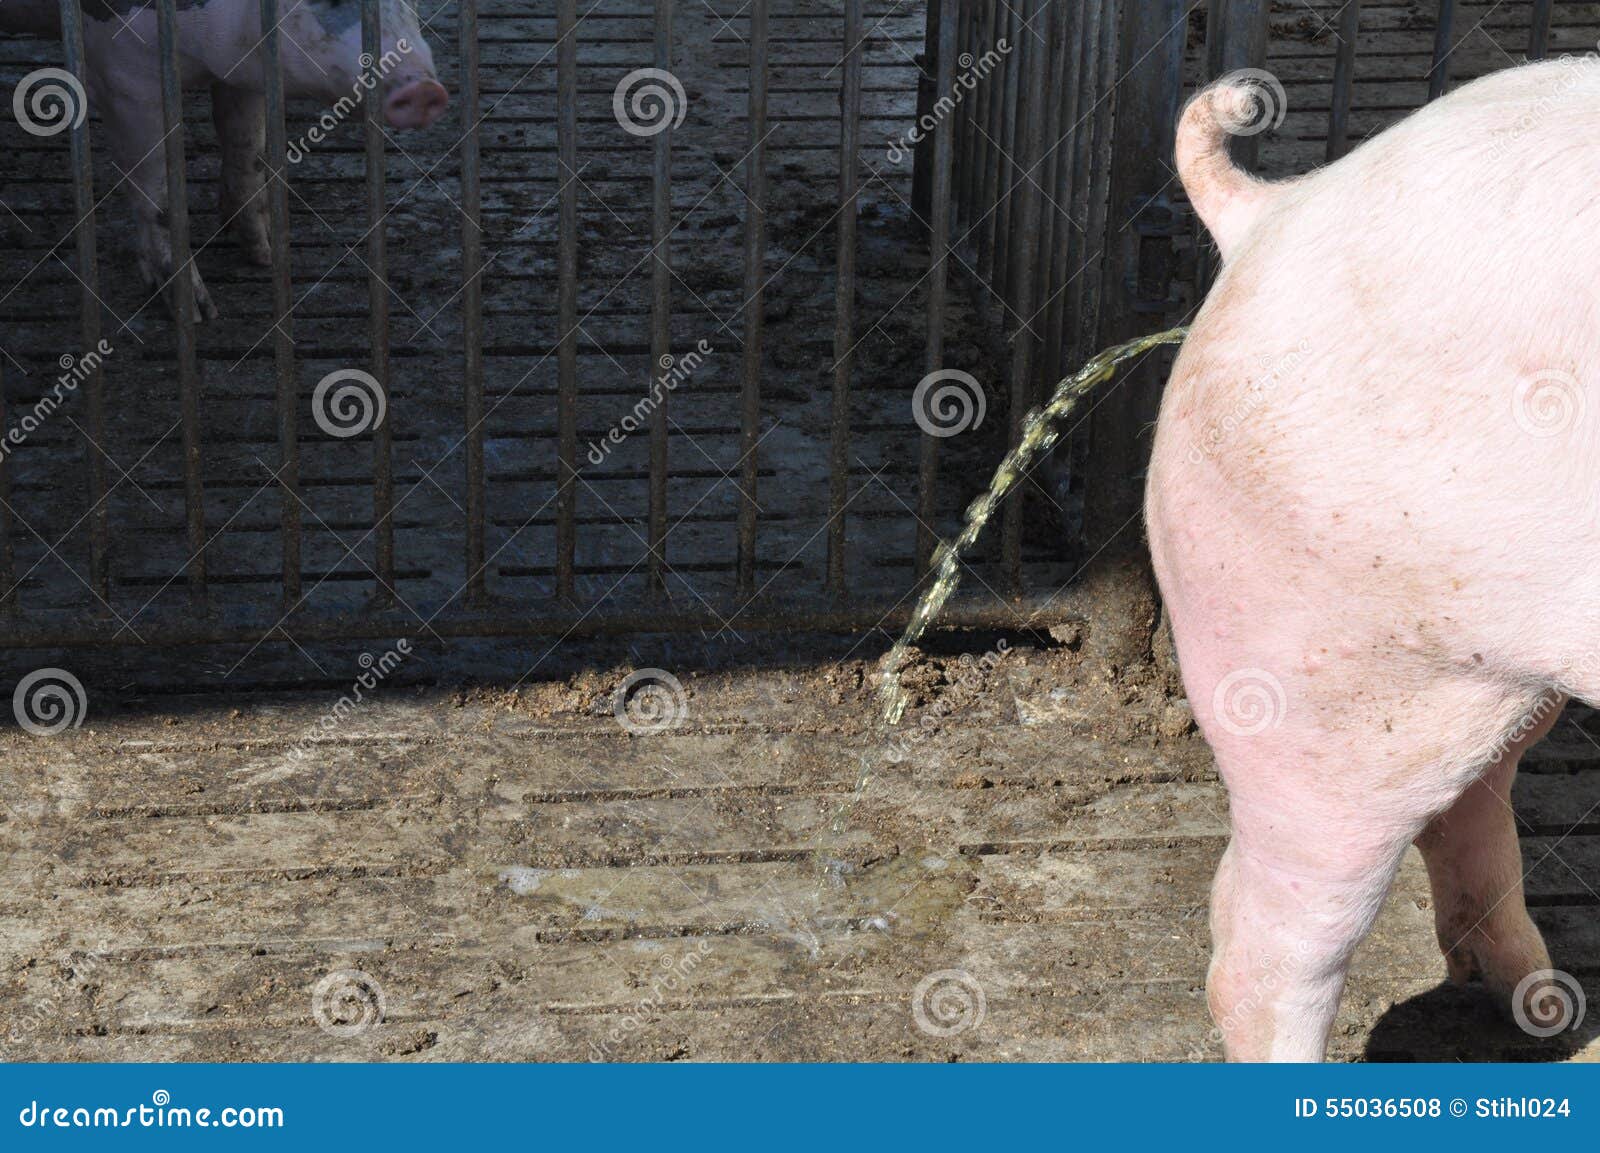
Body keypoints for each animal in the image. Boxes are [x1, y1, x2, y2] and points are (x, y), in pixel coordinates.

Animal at [1, 0, 448, 319]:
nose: (425, 89)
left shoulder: (244, 74)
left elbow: (246, 146)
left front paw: (262, 255)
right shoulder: (121, 73)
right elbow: (156, 187)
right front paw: (196, 313)